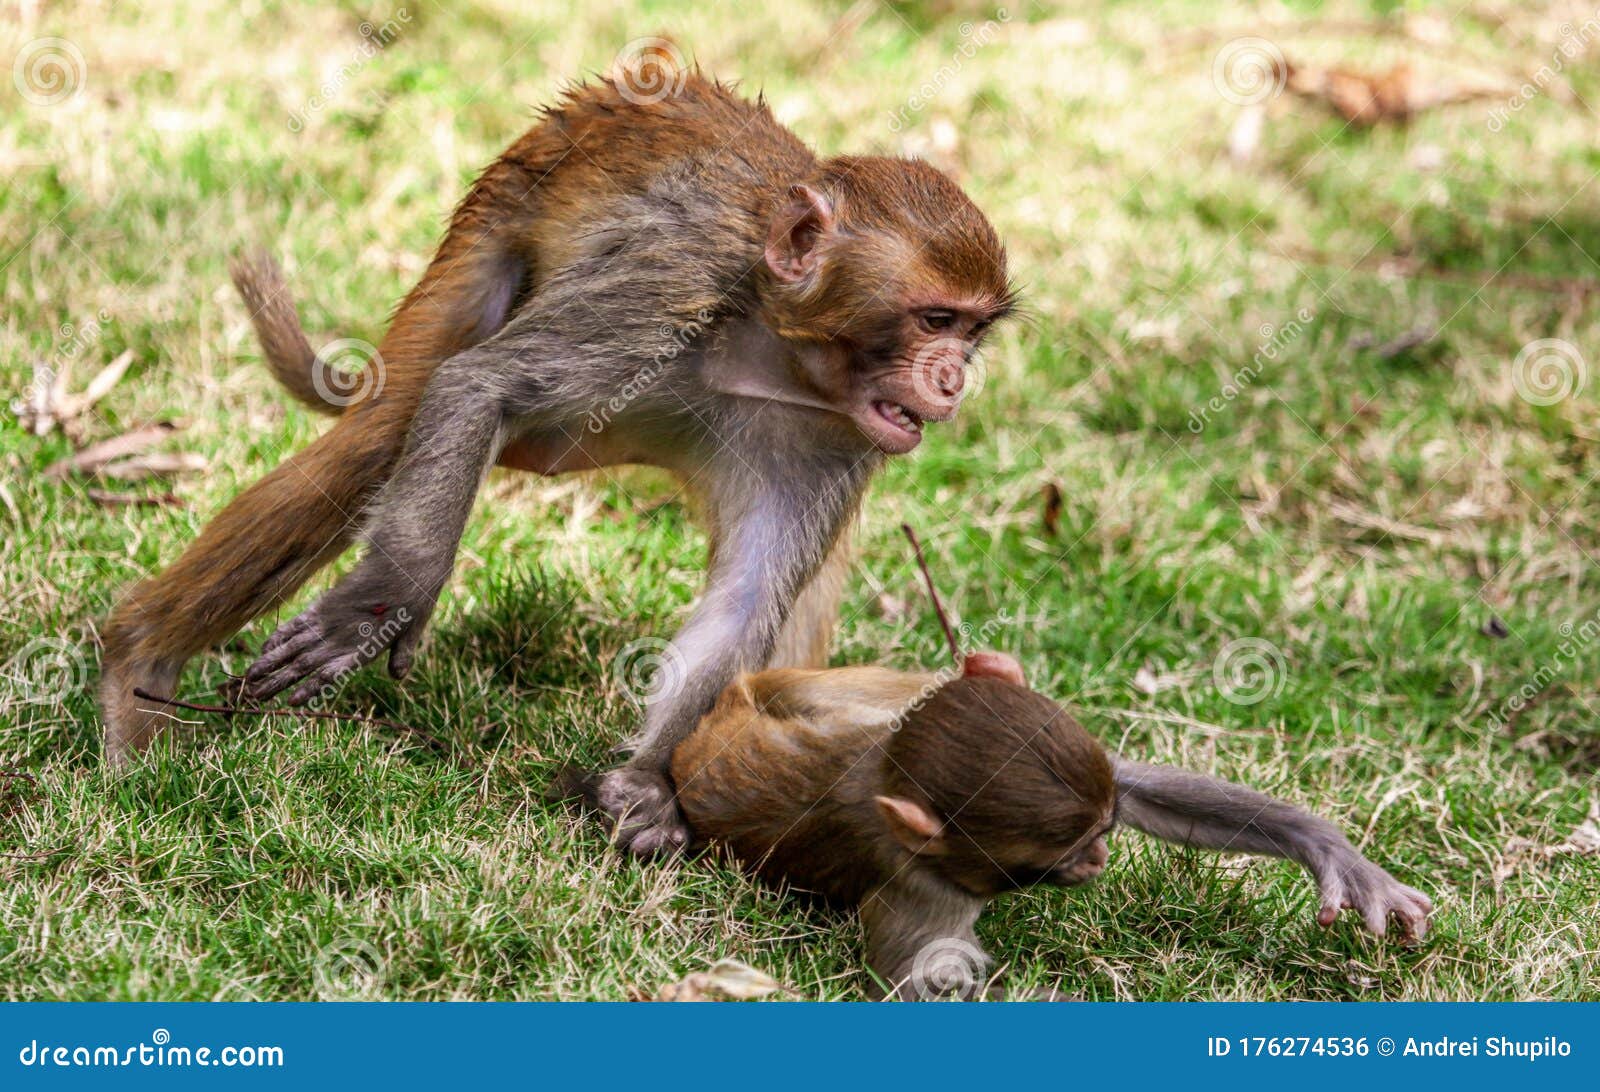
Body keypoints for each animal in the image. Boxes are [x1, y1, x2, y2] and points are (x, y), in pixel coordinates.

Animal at [97, 73, 1014, 860]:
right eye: (934, 319)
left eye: (973, 331)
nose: (953, 378)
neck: (777, 352)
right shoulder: (661, 291)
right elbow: (476, 386)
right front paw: (383, 607)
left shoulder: (839, 441)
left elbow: (748, 598)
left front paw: (650, 787)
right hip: (499, 218)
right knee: (387, 431)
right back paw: (137, 660)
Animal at [669, 651, 1434, 1001]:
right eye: (1065, 848)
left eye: (1098, 835)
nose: (1098, 861)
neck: (881, 771)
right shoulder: (922, 887)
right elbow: (923, 985)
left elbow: (1134, 788)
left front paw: (1330, 852)